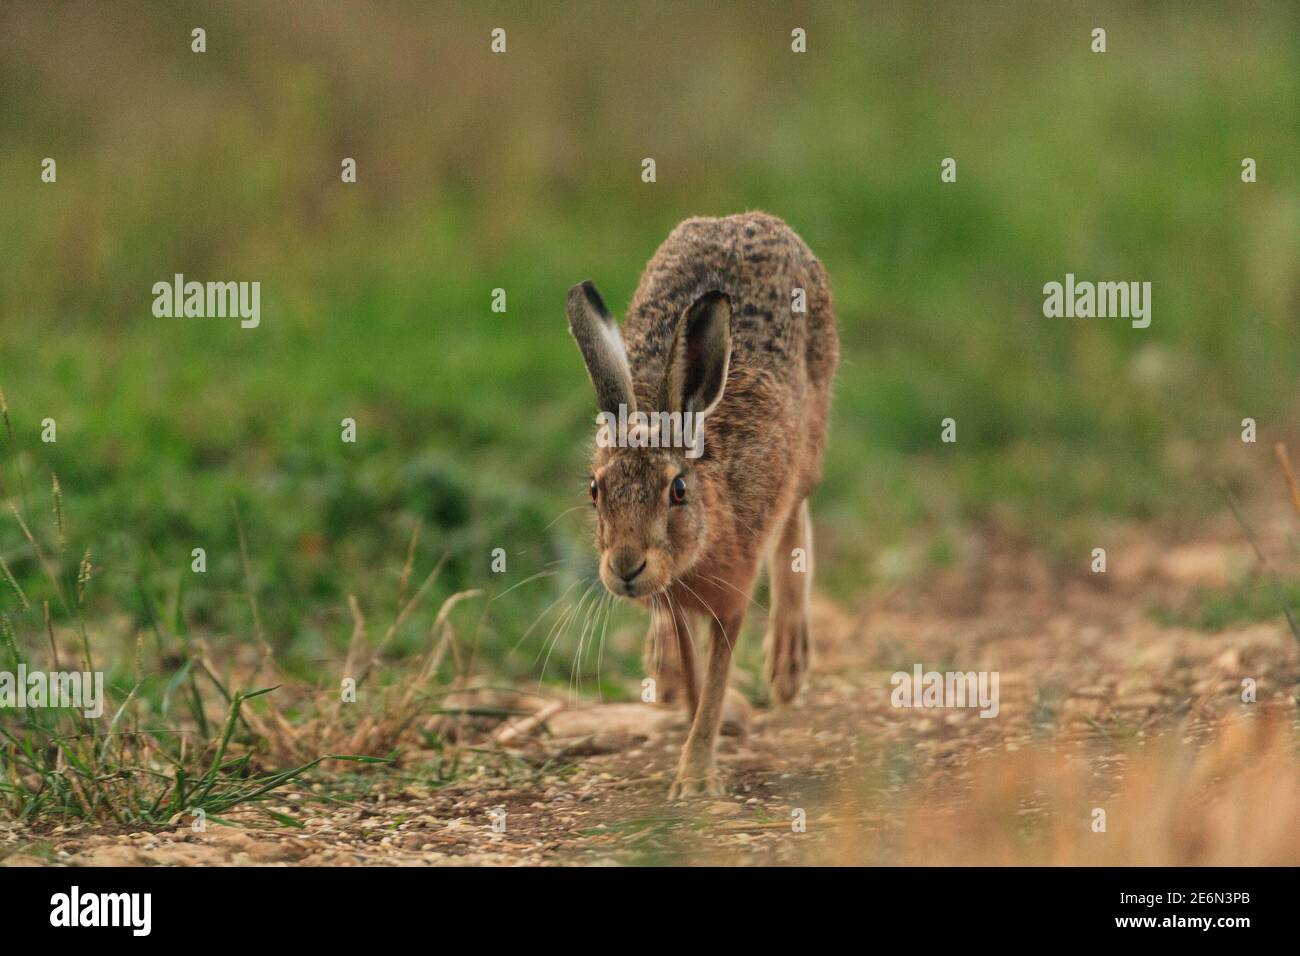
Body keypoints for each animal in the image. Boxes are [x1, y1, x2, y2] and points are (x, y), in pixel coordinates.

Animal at [566, 211, 838, 798]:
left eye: (678, 491)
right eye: (595, 490)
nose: (625, 567)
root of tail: (750, 219)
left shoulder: (731, 599)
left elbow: (714, 680)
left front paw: (695, 780)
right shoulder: (674, 601)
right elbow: (695, 678)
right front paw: (692, 742)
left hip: (810, 437)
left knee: (795, 518)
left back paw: (788, 663)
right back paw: (663, 668)